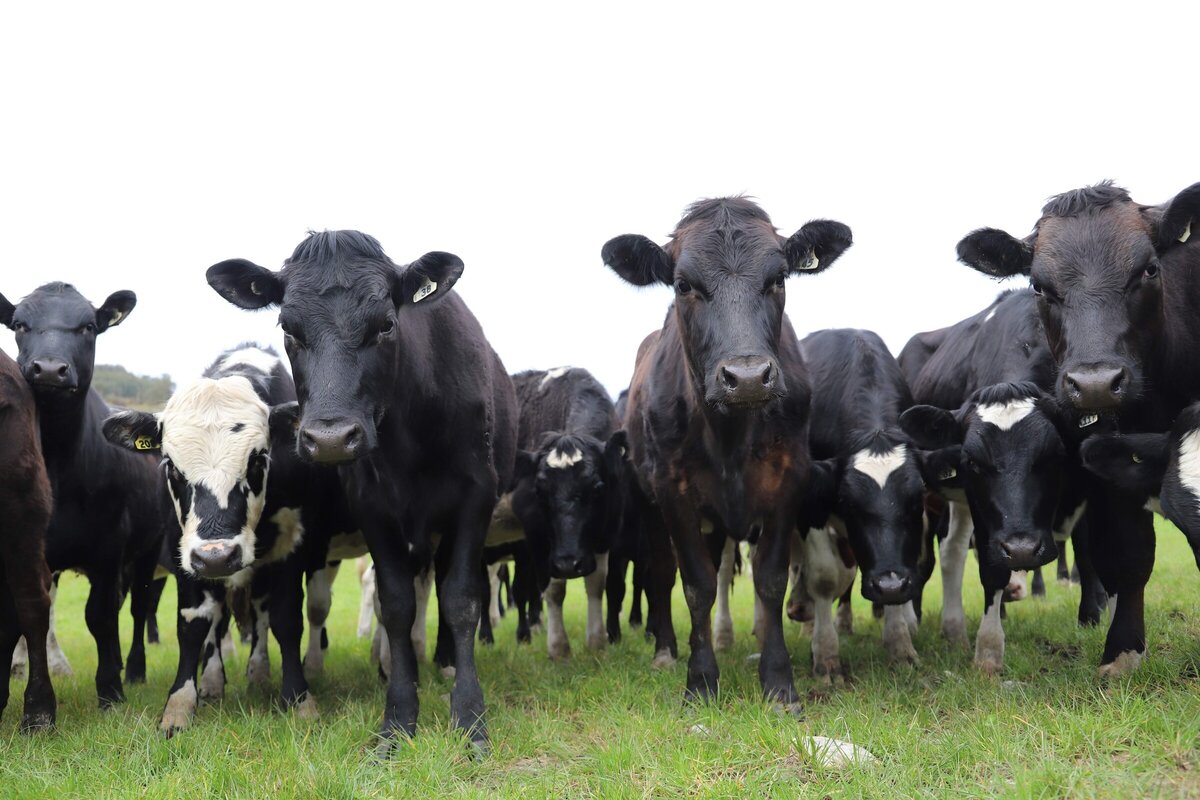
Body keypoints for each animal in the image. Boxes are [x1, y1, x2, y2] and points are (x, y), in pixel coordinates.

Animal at [0, 282, 166, 706]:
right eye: (20, 324)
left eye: (88, 326)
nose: (48, 368)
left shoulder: (109, 547)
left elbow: (101, 615)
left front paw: (110, 688)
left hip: (147, 551)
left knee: (137, 608)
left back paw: (133, 669)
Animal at [206, 230, 517, 753]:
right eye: (288, 328)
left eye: (386, 324)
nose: (330, 438)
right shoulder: (373, 510)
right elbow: (395, 603)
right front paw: (399, 719)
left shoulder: (476, 499)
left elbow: (461, 600)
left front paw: (470, 719)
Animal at [602, 197, 852, 704]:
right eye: (683, 285)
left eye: (778, 279)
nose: (749, 377)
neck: (730, 436)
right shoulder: (672, 492)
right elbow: (695, 585)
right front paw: (700, 681)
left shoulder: (789, 481)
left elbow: (770, 578)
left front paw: (778, 682)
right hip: (646, 501)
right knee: (662, 573)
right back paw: (665, 648)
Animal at [899, 289, 1094, 673]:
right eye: (973, 462)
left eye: (1053, 455)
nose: (1021, 548)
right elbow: (990, 567)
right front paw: (988, 651)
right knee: (934, 555)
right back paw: (919, 623)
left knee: (954, 550)